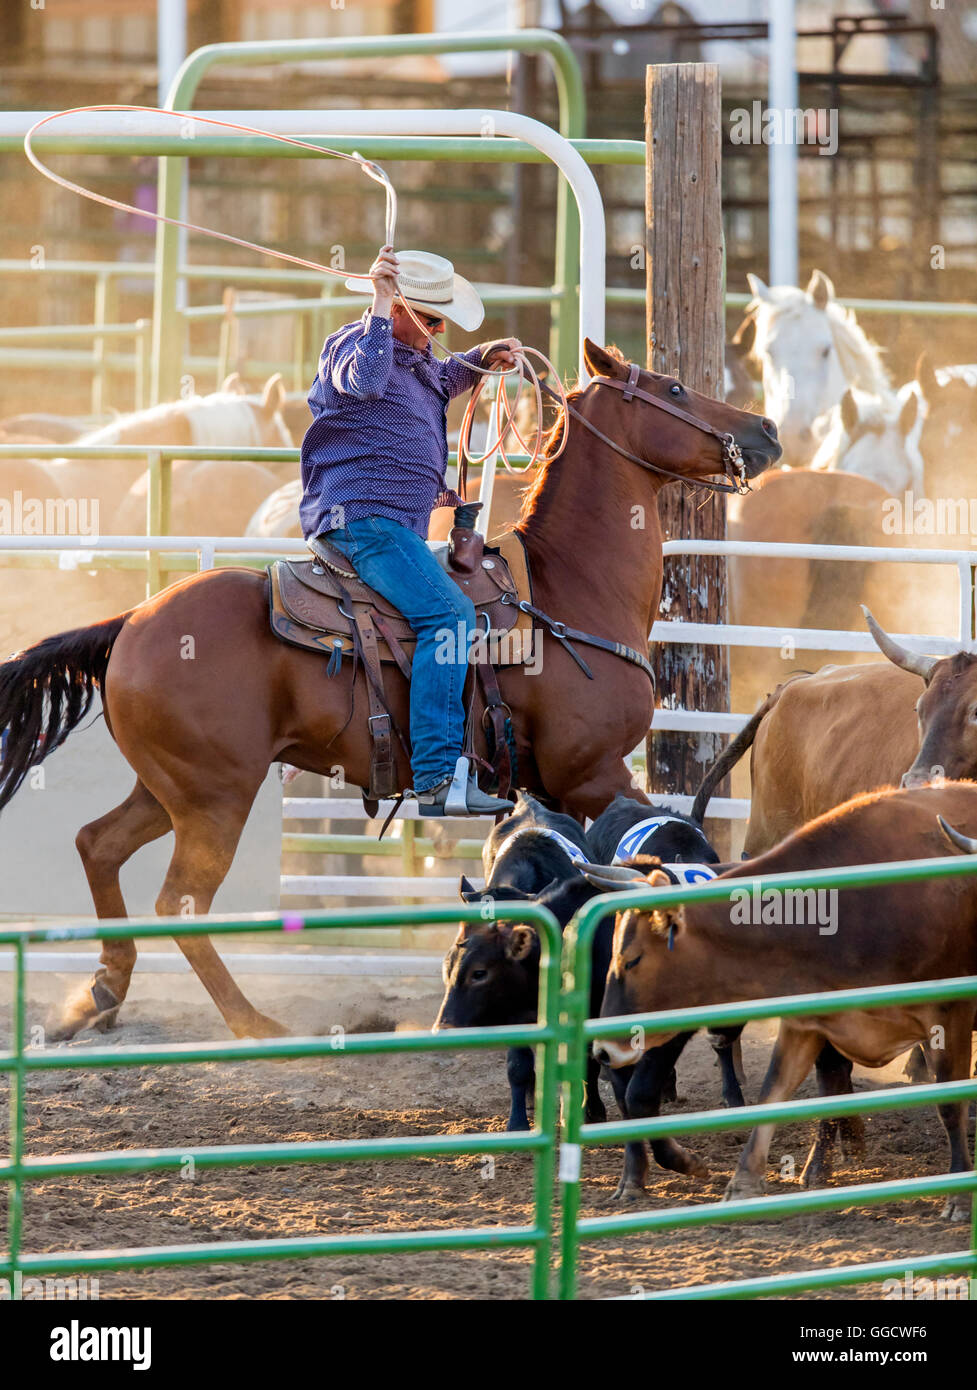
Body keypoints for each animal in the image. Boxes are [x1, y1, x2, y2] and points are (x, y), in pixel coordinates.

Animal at [590, 782, 977, 1221]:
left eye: (633, 958)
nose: (602, 1051)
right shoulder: (810, 1021)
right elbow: (776, 1090)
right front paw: (742, 1185)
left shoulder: (949, 1015)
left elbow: (950, 1105)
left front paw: (958, 1197)